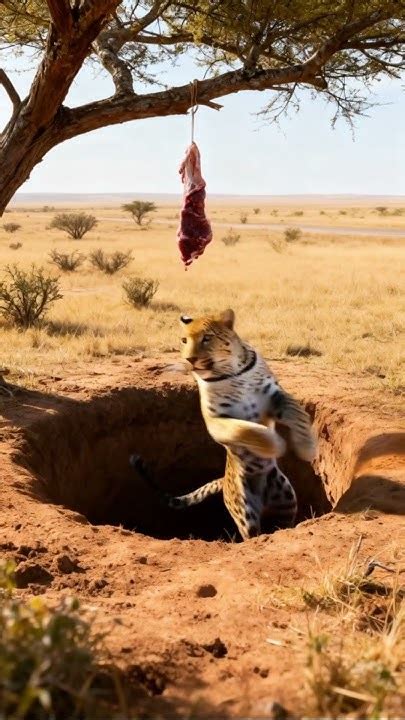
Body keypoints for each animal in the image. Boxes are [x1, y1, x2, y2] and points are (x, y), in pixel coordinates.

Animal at [130, 308, 317, 540]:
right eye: (184, 340)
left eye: (206, 338)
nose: (189, 359)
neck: (233, 372)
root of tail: (225, 479)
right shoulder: (216, 420)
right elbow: (245, 429)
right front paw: (276, 444)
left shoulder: (274, 396)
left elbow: (297, 412)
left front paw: (307, 448)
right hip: (246, 512)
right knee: (251, 534)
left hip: (286, 499)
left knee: (282, 525)